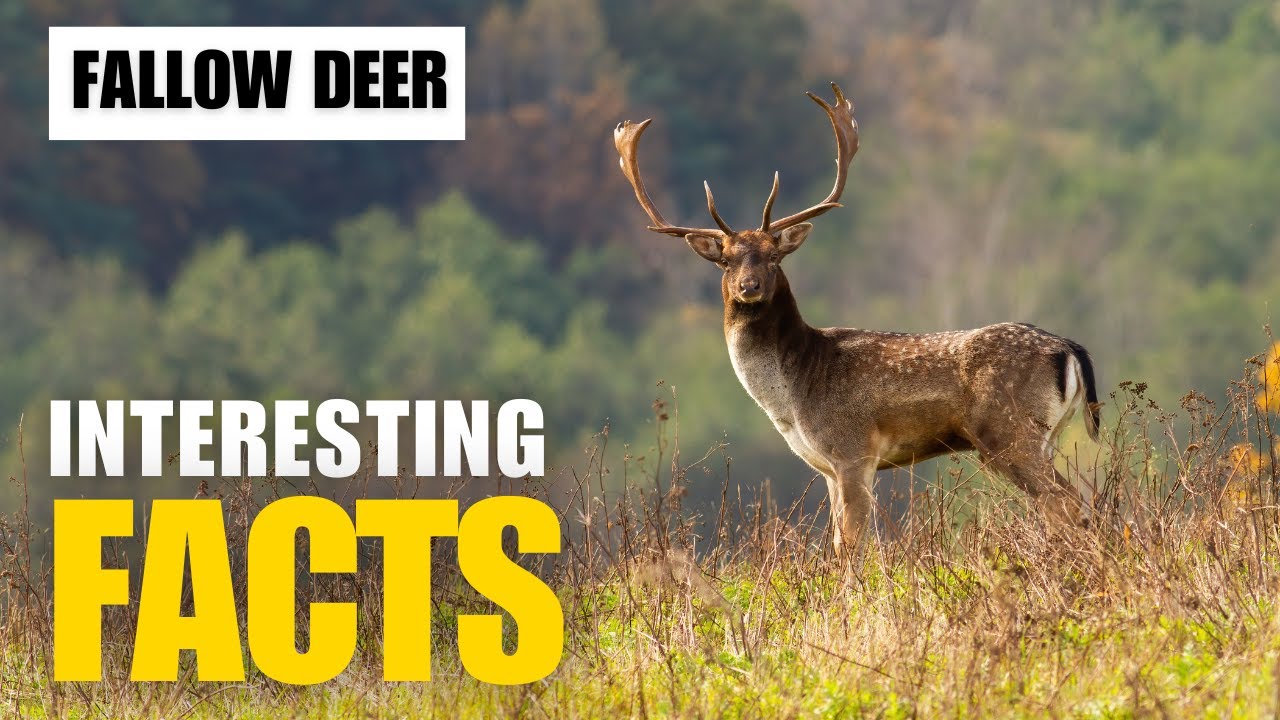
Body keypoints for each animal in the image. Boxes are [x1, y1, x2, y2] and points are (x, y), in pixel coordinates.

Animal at [613, 84, 1101, 557]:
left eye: (773, 256)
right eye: (727, 260)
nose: (749, 286)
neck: (791, 397)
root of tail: (1069, 348)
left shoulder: (851, 450)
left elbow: (851, 545)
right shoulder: (827, 468)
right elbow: (837, 541)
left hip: (1009, 432)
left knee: (1067, 503)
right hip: (1042, 437)